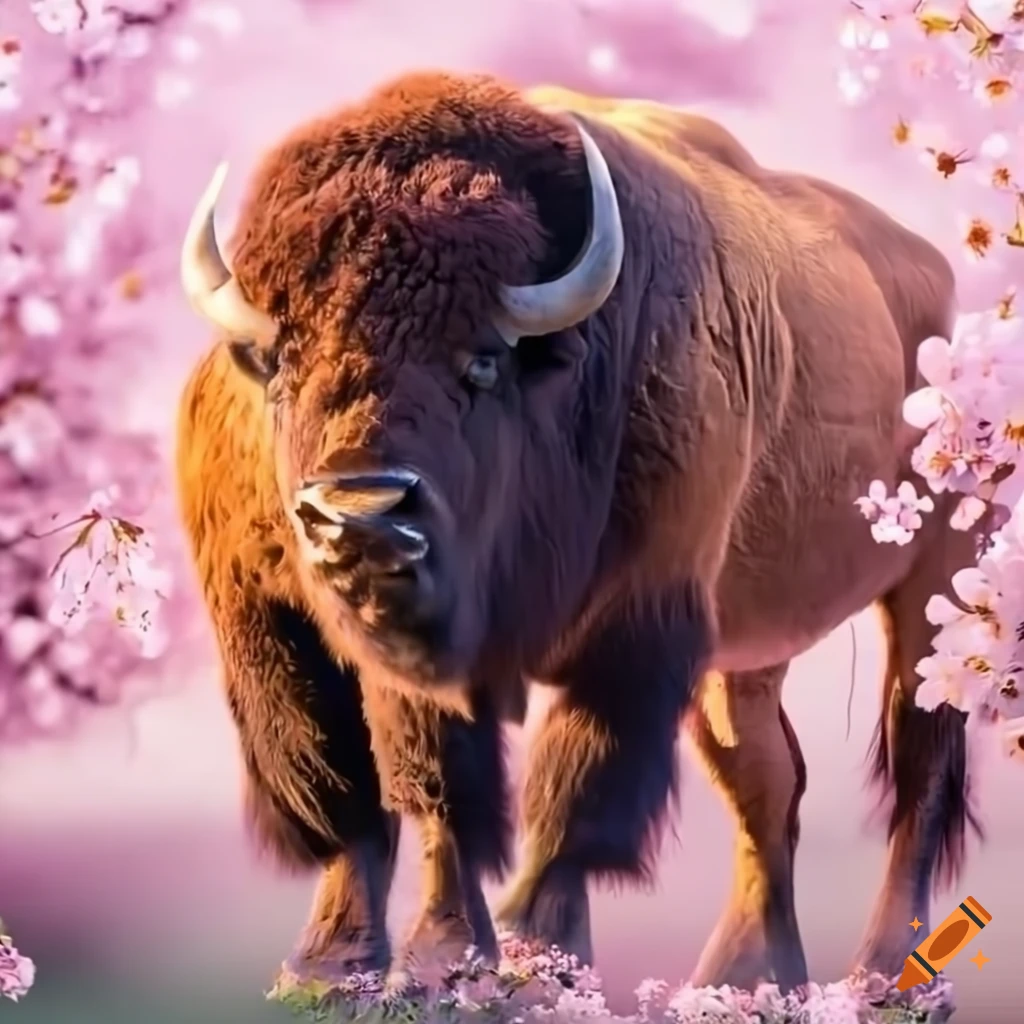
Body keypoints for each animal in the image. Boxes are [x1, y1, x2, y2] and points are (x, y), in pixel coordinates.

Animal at [175, 72, 976, 993]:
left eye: (481, 361)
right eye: (280, 361)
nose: (362, 514)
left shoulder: (637, 621)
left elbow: (572, 788)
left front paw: (527, 955)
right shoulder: (294, 632)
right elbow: (382, 786)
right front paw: (346, 968)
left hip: (933, 589)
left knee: (918, 761)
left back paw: (883, 974)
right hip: (745, 652)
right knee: (766, 778)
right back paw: (742, 976)